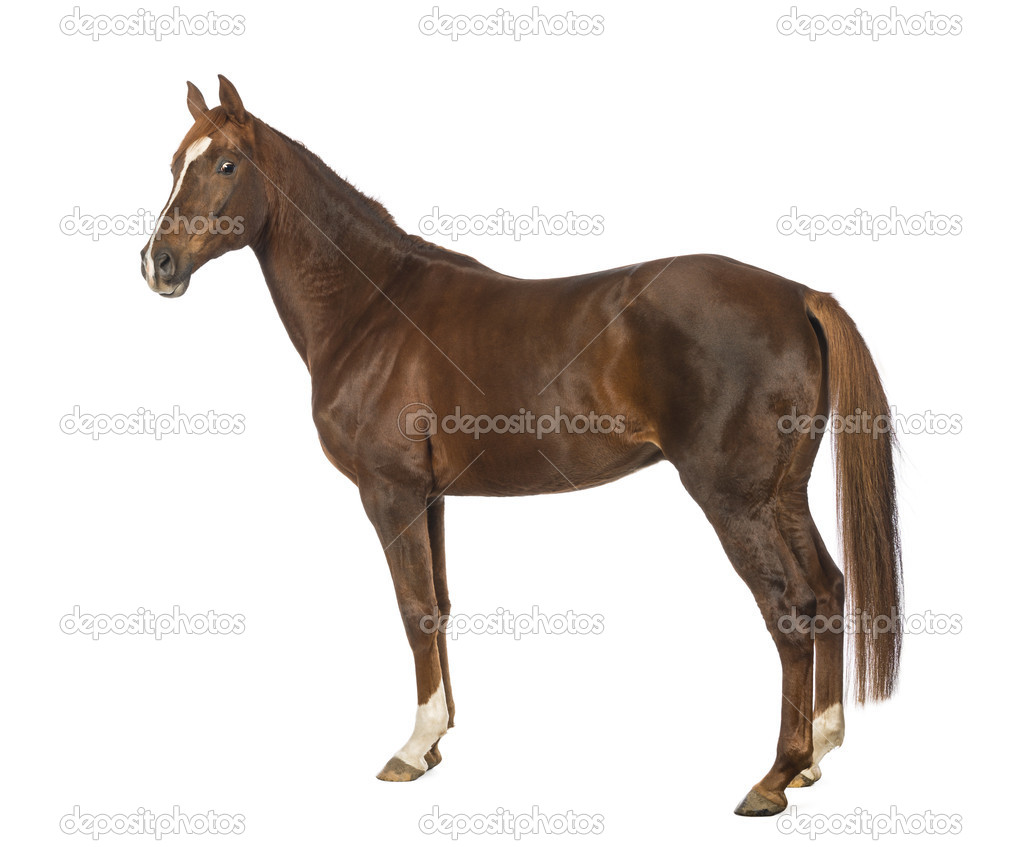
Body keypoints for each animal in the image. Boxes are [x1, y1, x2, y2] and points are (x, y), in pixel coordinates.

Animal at [140, 76, 902, 816]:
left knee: (789, 610)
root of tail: (797, 296)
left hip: (734, 500)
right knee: (828, 589)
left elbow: (414, 610)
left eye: (226, 164)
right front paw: (437, 740)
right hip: (783, 493)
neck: (372, 307)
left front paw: (411, 749)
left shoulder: (389, 493)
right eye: (175, 164)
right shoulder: (430, 498)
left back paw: (774, 775)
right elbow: (441, 604)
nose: (158, 262)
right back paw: (818, 753)